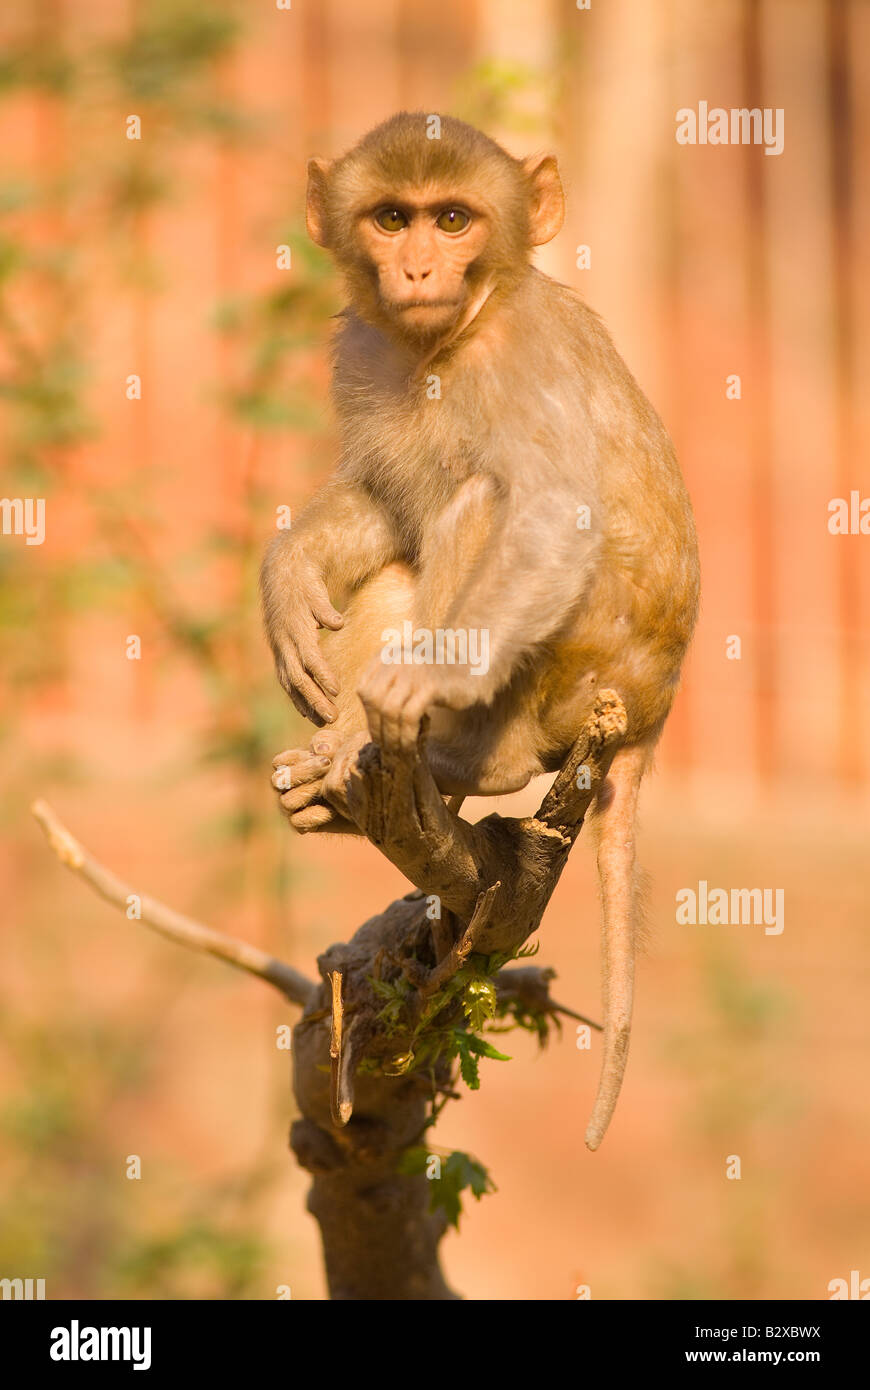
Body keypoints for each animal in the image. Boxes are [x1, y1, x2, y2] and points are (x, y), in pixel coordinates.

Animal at [259, 113, 700, 1150]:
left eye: (453, 219)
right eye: (393, 218)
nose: (420, 267)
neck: (449, 339)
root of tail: (650, 709)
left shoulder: (518, 358)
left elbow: (548, 516)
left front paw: (413, 695)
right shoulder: (365, 351)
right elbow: (381, 498)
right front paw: (287, 578)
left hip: (582, 671)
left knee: (481, 499)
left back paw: (458, 760)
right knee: (408, 553)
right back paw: (360, 777)